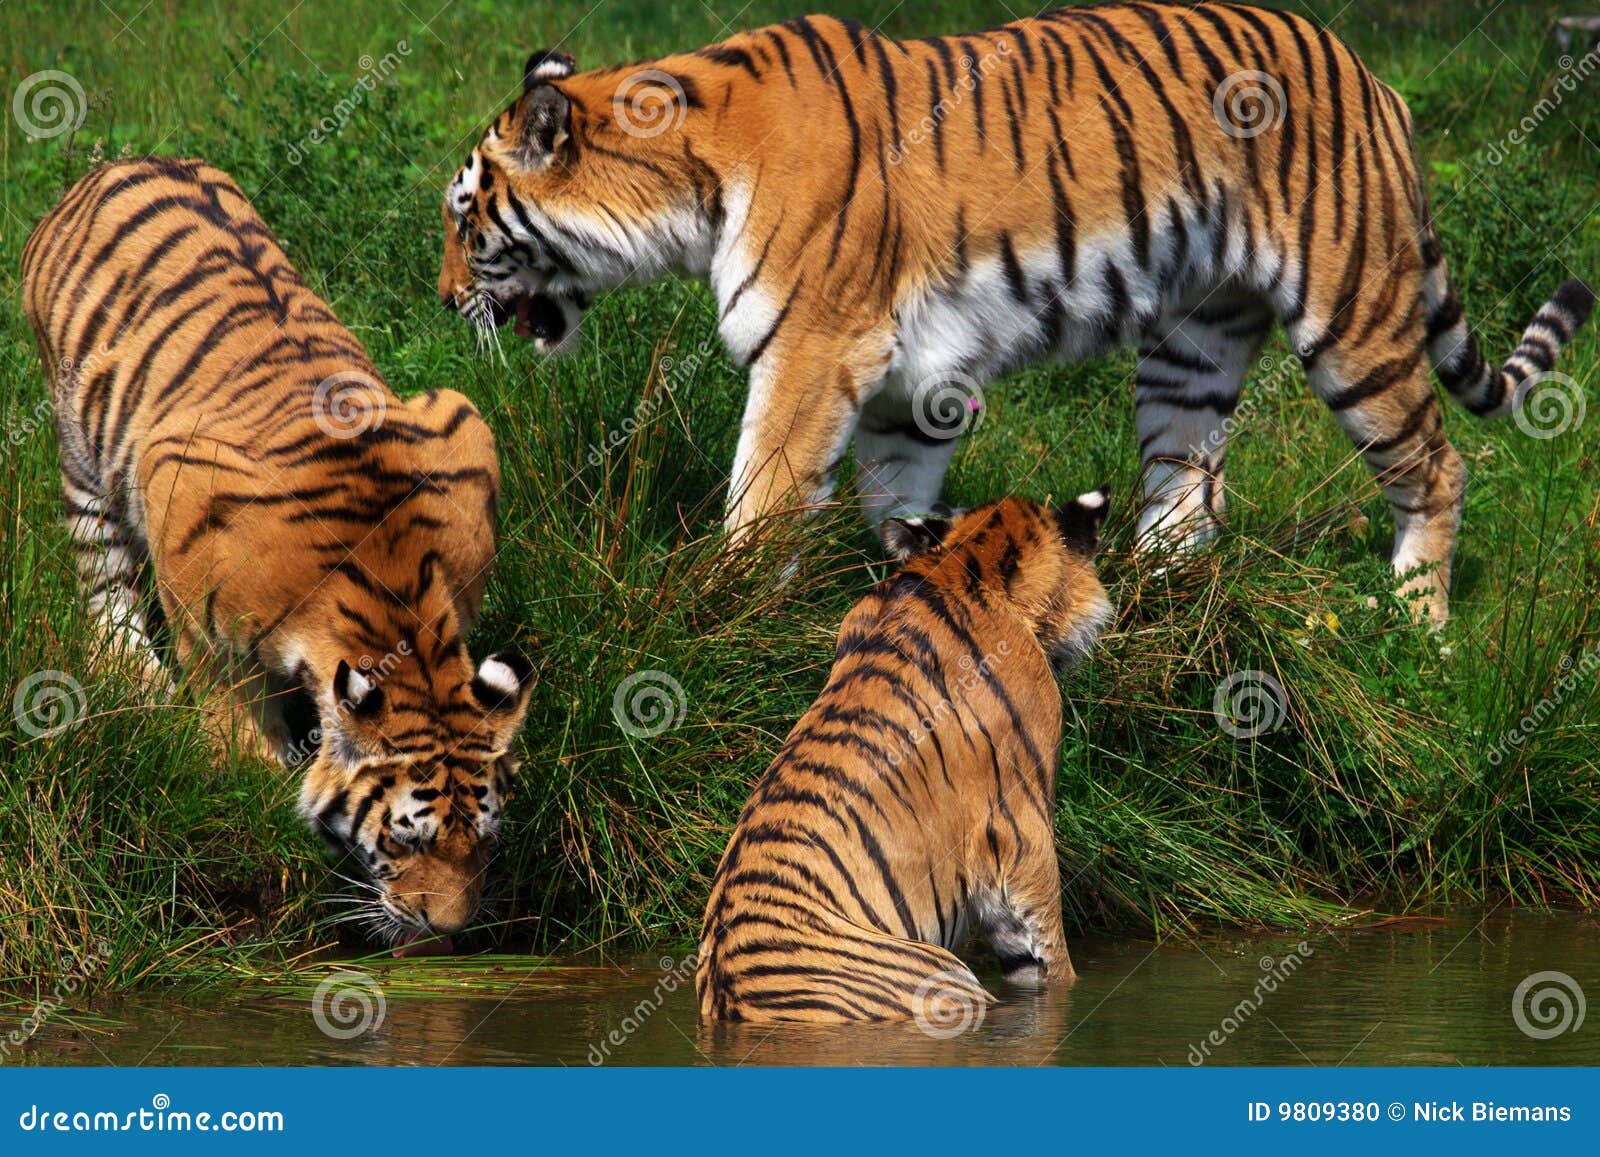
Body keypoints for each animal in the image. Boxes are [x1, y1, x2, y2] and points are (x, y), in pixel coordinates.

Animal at [21, 156, 534, 952]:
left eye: (484, 841)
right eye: (407, 839)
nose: (447, 927)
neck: (398, 611)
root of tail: (121, 163)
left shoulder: (463, 431)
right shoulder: (182, 511)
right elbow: (232, 726)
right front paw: (254, 791)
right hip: (84, 457)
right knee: (105, 592)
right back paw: (141, 688)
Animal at [438, 2, 1594, 625]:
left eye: (464, 215)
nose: (447, 303)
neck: (688, 180)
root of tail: (1373, 77)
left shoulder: (812, 349)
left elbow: (760, 496)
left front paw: (713, 613)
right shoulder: (902, 380)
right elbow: (895, 500)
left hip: (1354, 316)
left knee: (1437, 466)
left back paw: (1415, 628)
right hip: (1191, 346)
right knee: (1188, 492)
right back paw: (1155, 603)